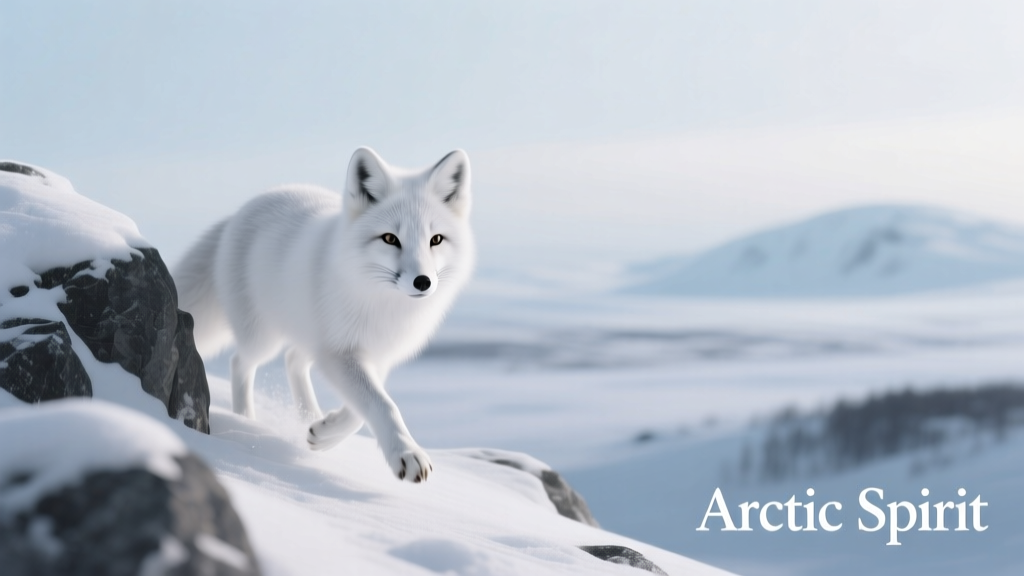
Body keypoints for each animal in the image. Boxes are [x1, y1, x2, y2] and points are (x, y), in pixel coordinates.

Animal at [173, 147, 475, 483]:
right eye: (390, 238)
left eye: (436, 239)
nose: (423, 282)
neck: (384, 302)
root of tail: (239, 213)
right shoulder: (338, 351)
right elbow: (382, 404)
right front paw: (406, 454)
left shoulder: (375, 354)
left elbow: (363, 408)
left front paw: (325, 434)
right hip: (263, 337)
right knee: (241, 363)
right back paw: (248, 420)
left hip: (308, 334)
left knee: (292, 359)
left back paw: (309, 417)